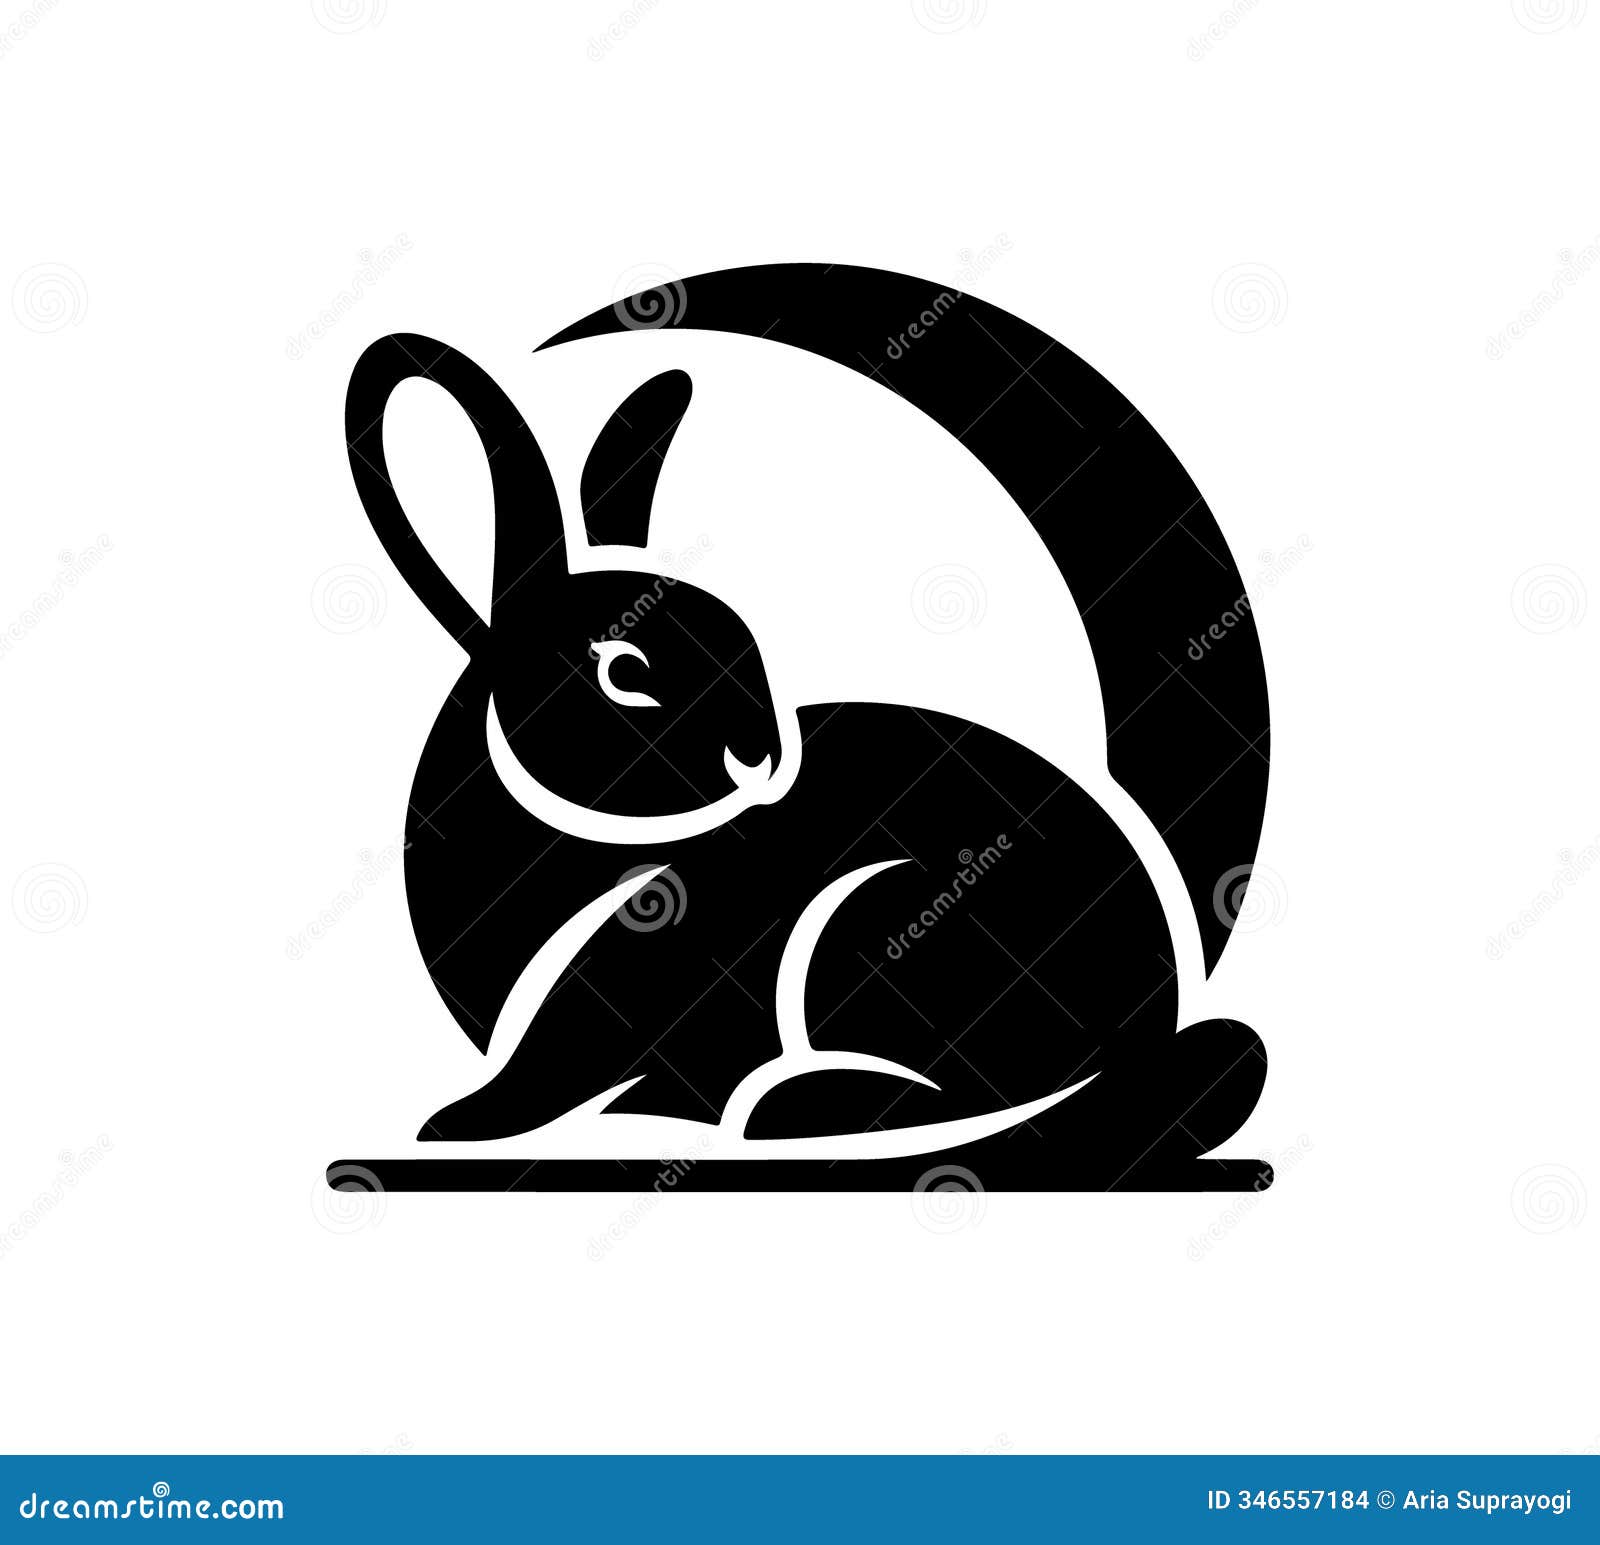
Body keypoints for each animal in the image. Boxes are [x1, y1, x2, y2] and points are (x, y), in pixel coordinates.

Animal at [345, 333, 1266, 1182]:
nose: (760, 755)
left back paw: (788, 1106)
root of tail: (1141, 1032)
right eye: (625, 672)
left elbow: (566, 1048)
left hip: (875, 924)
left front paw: (457, 1125)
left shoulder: (658, 950)